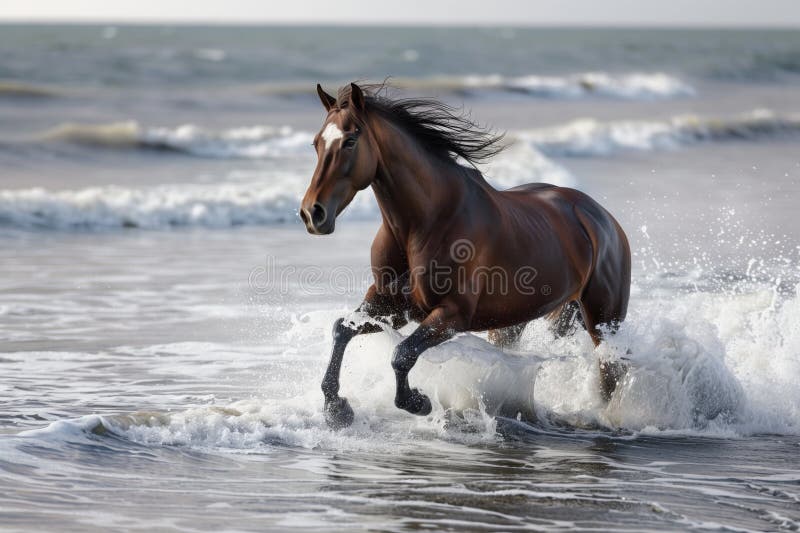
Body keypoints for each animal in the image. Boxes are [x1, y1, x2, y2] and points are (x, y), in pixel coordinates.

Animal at [301, 82, 631, 429]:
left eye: (350, 140)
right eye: (316, 142)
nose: (312, 213)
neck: (425, 222)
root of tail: (602, 218)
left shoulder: (451, 315)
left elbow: (402, 354)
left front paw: (417, 402)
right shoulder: (391, 305)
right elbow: (342, 328)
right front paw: (337, 408)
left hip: (603, 322)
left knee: (610, 374)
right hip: (512, 323)